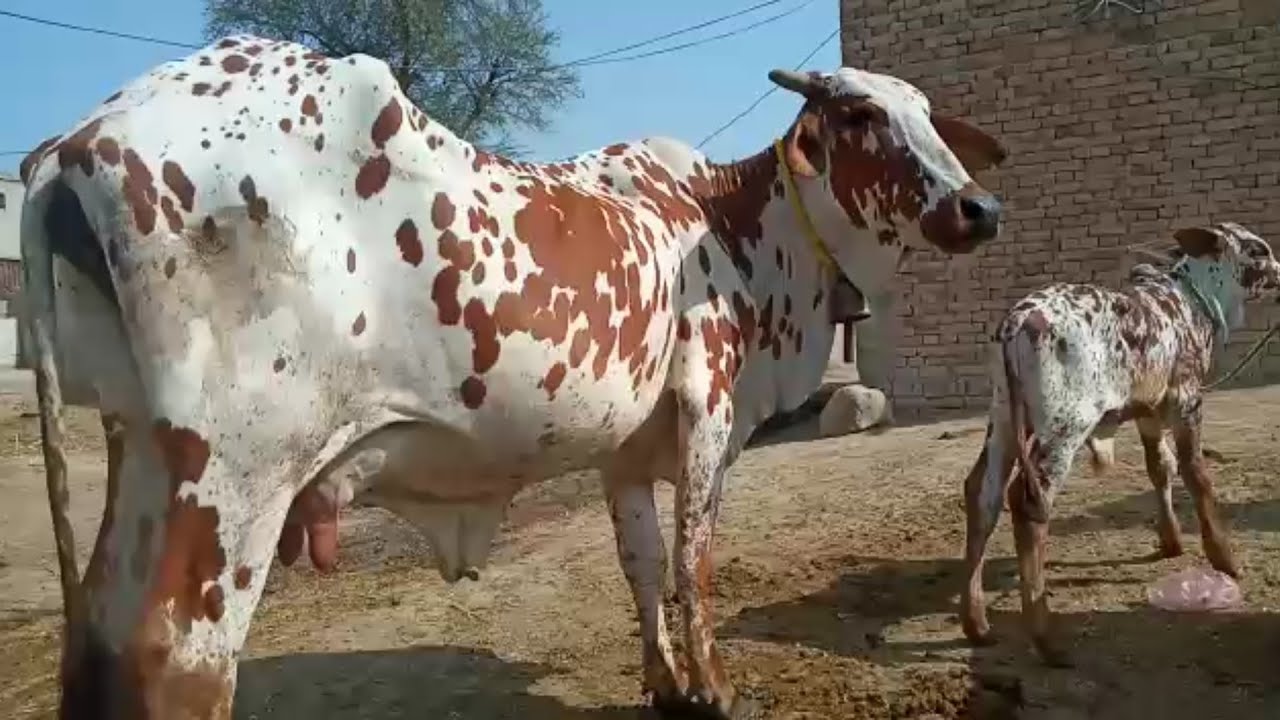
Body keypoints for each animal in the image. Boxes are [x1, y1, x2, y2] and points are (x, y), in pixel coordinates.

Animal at [21, 35, 1006, 719]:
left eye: (927, 116)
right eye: (861, 117)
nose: (978, 207)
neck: (724, 226)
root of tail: (75, 142)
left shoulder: (625, 452)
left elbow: (644, 565)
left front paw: (666, 685)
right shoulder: (710, 415)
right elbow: (695, 563)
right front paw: (715, 689)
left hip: (147, 461)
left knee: (101, 651)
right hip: (234, 479)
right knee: (174, 668)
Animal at [958, 222, 1280, 666]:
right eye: (1258, 250)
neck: (1190, 300)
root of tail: (1018, 320)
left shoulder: (1148, 409)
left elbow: (1160, 467)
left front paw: (1171, 541)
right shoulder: (1186, 400)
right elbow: (1197, 475)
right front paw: (1225, 560)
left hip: (1004, 417)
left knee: (982, 493)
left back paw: (976, 623)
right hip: (1065, 425)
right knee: (1027, 502)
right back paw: (1045, 639)